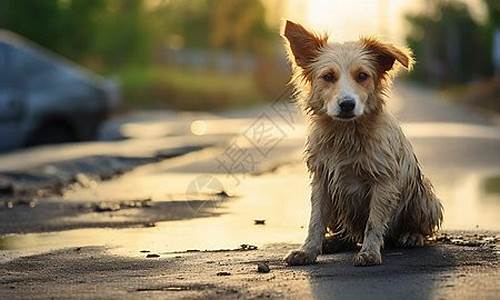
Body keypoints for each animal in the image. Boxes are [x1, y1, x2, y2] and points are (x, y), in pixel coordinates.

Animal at [284, 19, 444, 266]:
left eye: (362, 76)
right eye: (328, 77)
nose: (347, 104)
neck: (346, 133)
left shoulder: (383, 181)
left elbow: (374, 222)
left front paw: (369, 252)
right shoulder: (322, 180)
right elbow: (316, 220)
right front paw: (308, 250)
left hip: (424, 196)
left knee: (418, 227)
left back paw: (412, 235)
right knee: (347, 234)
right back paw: (335, 241)